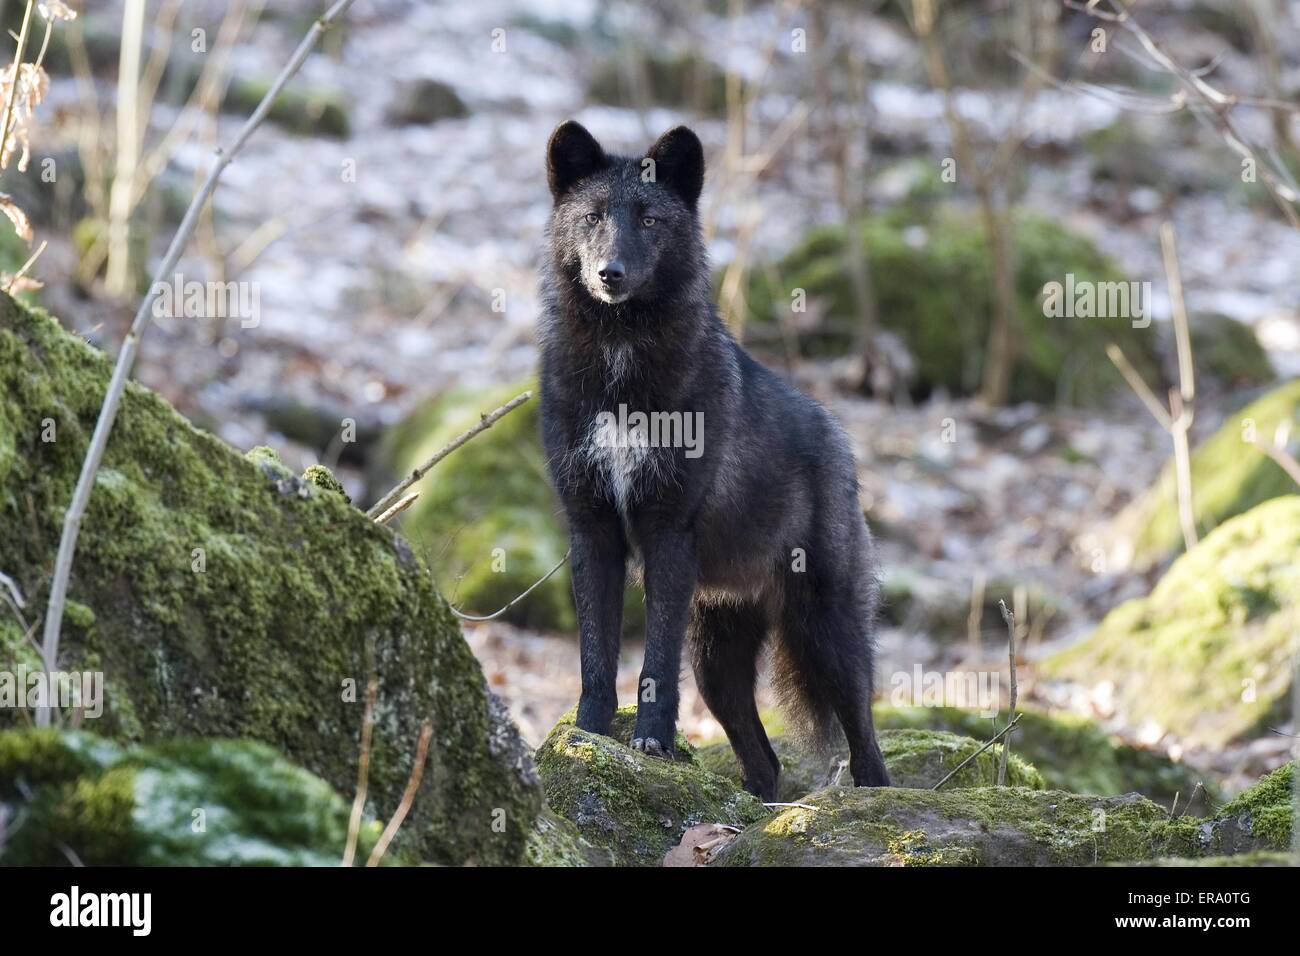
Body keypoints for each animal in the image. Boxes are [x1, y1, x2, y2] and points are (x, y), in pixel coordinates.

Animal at [538, 120, 890, 800]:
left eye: (649, 219)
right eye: (593, 217)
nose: (610, 273)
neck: (620, 368)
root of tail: (838, 436)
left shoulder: (667, 533)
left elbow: (652, 665)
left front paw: (651, 741)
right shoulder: (592, 529)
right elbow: (595, 657)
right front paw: (587, 736)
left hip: (826, 633)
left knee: (866, 738)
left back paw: (872, 799)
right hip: (718, 663)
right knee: (765, 762)